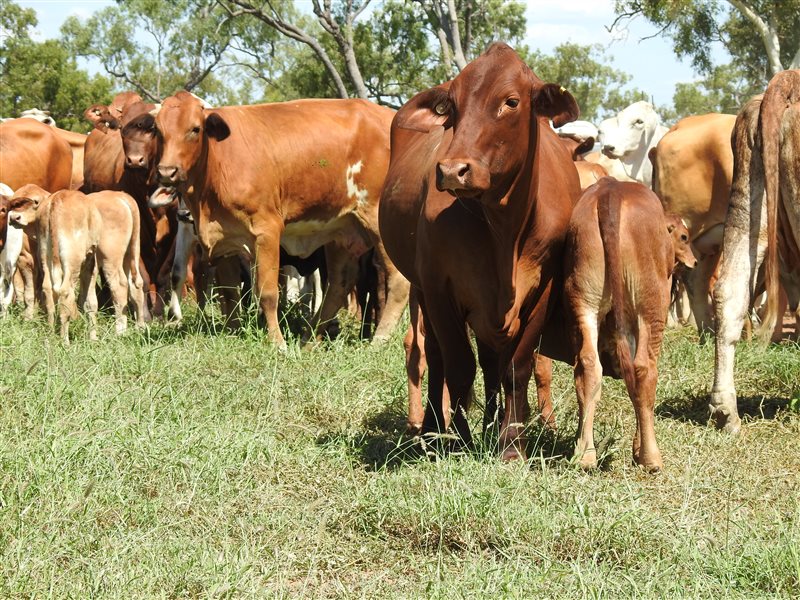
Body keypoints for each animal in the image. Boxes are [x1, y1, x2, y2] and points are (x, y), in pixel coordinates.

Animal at [8, 189, 147, 342]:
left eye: (34, 201)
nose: (14, 217)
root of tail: (120, 196)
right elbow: (88, 301)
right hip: (121, 257)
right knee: (129, 285)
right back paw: (131, 330)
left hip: (114, 257)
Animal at [148, 90, 409, 348]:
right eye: (159, 130)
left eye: (195, 129)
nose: (167, 172)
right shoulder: (226, 239)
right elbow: (230, 293)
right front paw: (232, 333)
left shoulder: (267, 231)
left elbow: (267, 293)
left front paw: (277, 343)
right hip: (341, 229)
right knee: (339, 285)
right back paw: (308, 340)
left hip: (378, 224)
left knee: (397, 281)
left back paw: (378, 340)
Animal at [379, 43, 581, 459]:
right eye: (450, 106)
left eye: (511, 102)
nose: (453, 170)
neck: (504, 229)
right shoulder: (440, 289)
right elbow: (458, 365)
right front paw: (458, 439)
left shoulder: (544, 288)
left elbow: (515, 367)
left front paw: (511, 444)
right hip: (420, 290)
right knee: (435, 355)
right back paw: (433, 429)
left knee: (491, 363)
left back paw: (491, 424)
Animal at [565, 178, 696, 472]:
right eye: (684, 237)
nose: (694, 262)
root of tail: (611, 190)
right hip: (651, 304)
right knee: (643, 369)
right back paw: (651, 458)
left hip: (583, 298)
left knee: (588, 366)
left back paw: (585, 454)